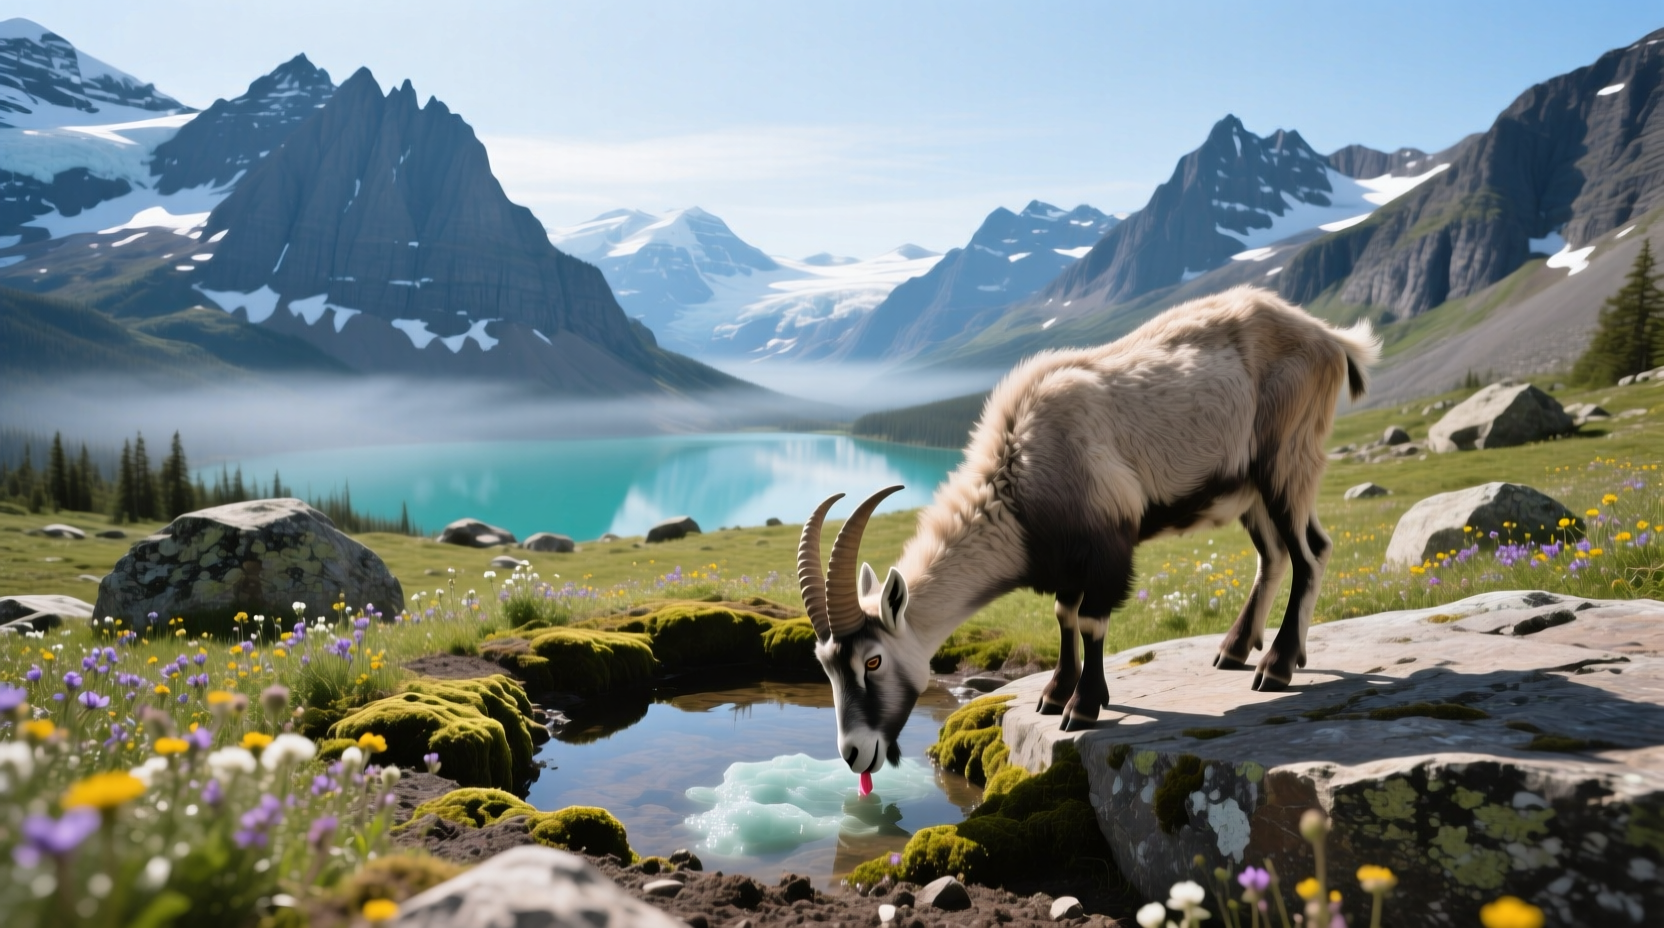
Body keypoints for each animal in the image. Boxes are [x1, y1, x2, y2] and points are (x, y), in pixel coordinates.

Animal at [798, 286, 1379, 773]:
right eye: (824, 665)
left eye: (873, 659)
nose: (855, 753)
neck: (1023, 468)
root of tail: (1331, 339)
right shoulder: (1066, 561)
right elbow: (1064, 616)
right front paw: (1055, 694)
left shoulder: (1106, 545)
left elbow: (1092, 621)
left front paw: (1082, 707)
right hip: (1251, 490)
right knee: (1279, 554)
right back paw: (1239, 651)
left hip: (1287, 462)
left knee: (1309, 553)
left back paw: (1276, 667)